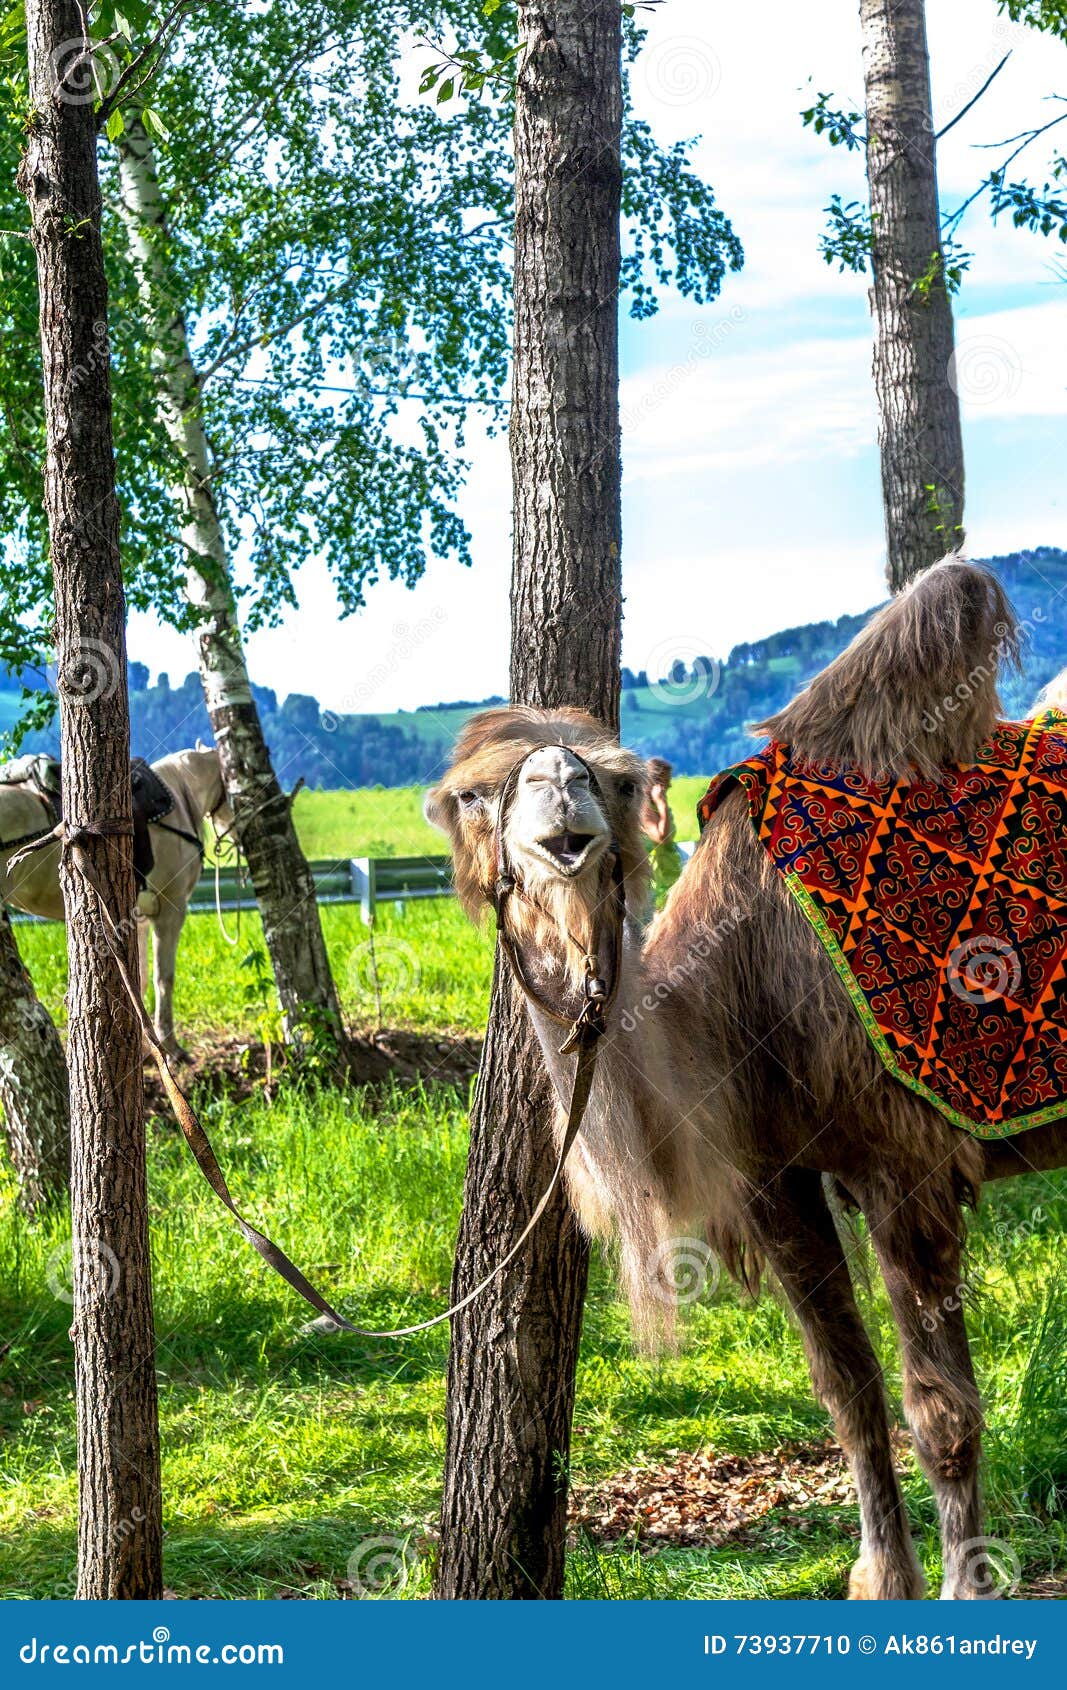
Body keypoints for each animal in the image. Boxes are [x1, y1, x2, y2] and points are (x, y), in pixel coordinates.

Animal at [1, 744, 231, 1056]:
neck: (181, 799)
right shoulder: (171, 911)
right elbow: (164, 979)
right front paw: (170, 1046)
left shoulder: (140, 918)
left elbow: (140, 980)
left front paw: (147, 1048)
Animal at [427, 559, 1067, 1601]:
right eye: (476, 795)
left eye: (610, 776)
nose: (561, 792)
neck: (734, 990)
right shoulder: (775, 1178)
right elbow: (847, 1394)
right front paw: (881, 1578)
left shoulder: (904, 1164)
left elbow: (941, 1414)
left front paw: (962, 1590)